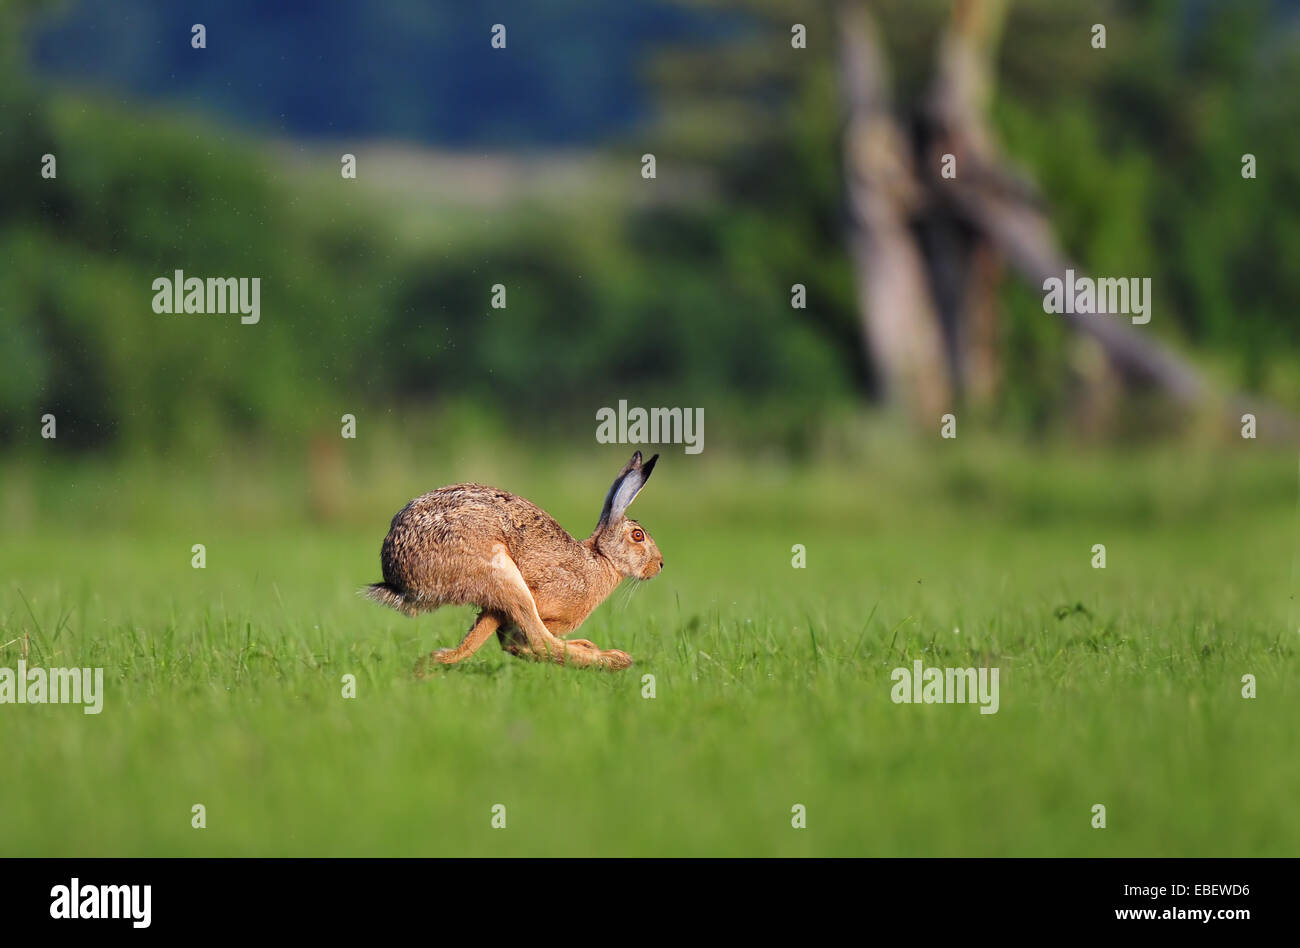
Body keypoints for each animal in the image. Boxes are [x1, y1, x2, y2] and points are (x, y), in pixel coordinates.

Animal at [364, 451, 662, 671]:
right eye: (638, 535)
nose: (659, 565)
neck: (600, 558)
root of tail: (396, 576)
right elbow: (525, 640)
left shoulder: (498, 613)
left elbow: (507, 641)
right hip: (502, 573)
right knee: (540, 639)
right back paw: (616, 659)